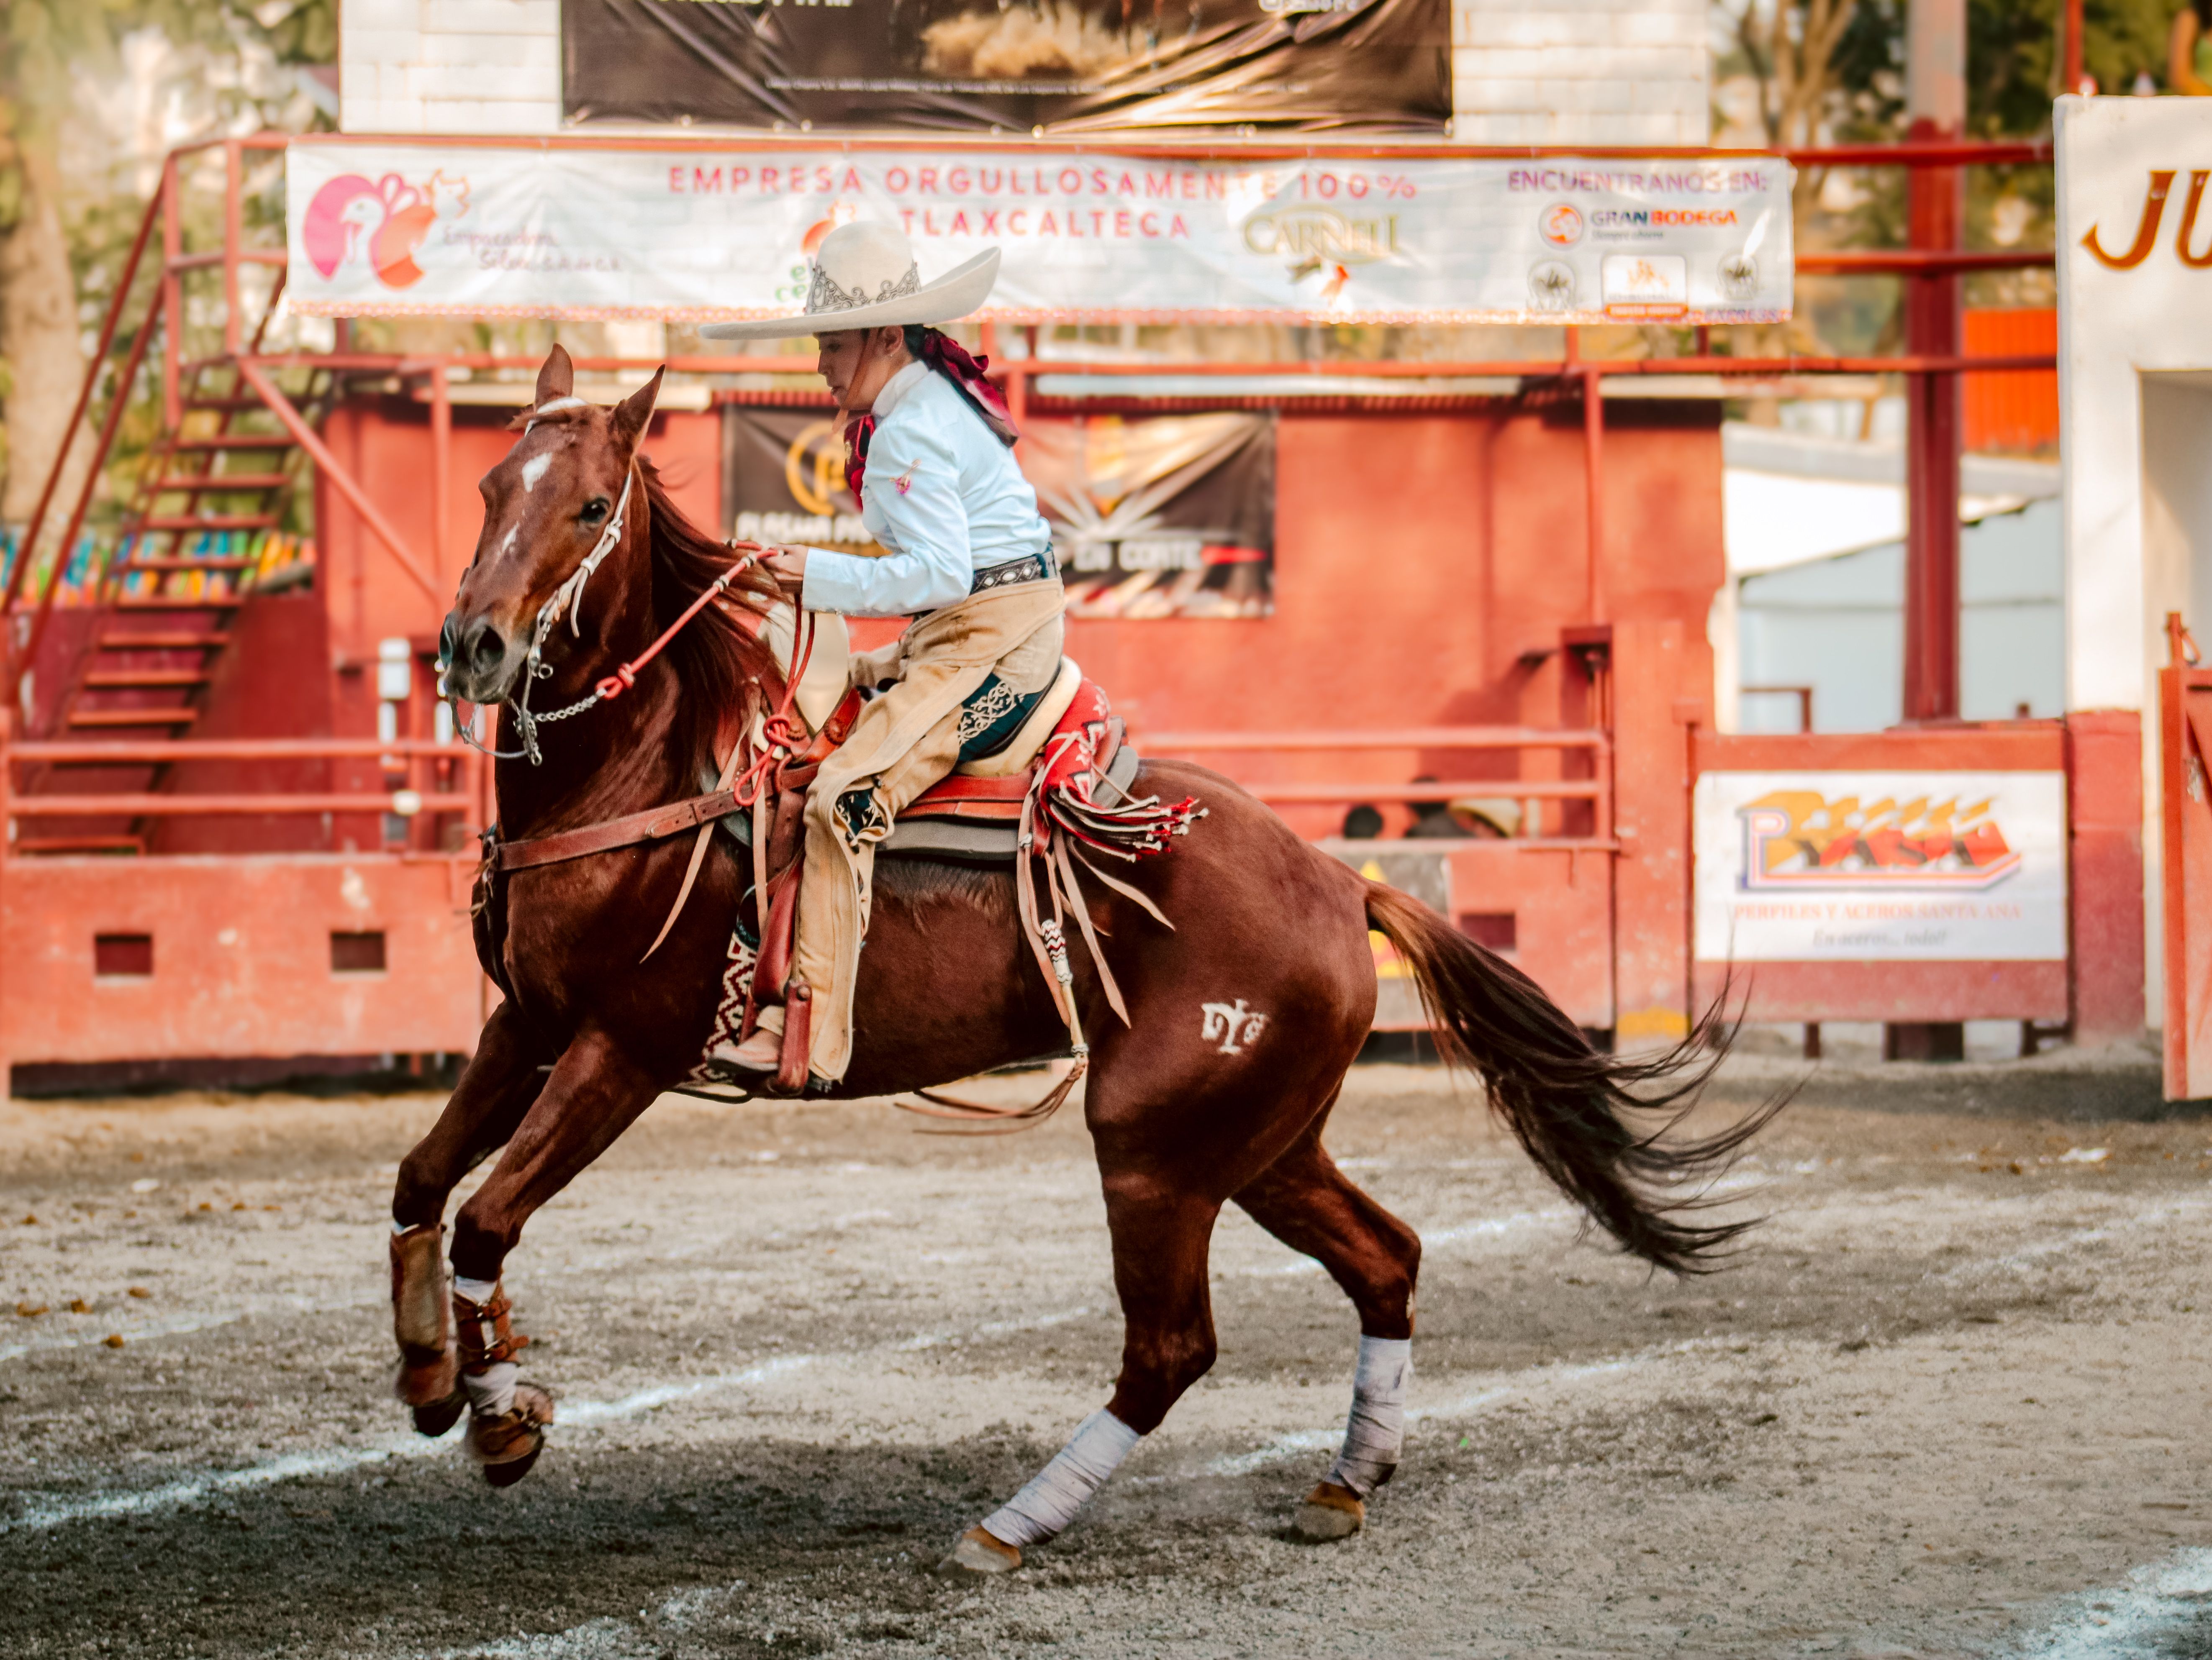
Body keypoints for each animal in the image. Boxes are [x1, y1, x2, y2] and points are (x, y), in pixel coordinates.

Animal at [397, 345, 1778, 1573]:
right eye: (490, 487)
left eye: (588, 504)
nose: (472, 645)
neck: (647, 775)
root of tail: (1340, 880)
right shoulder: (526, 1023)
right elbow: (425, 1182)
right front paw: (428, 1374)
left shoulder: (627, 1045)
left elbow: (491, 1212)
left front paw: (505, 1420)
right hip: (1258, 1142)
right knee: (1385, 1258)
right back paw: (1343, 1481)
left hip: (1154, 1146)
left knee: (1170, 1347)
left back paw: (1012, 1525)